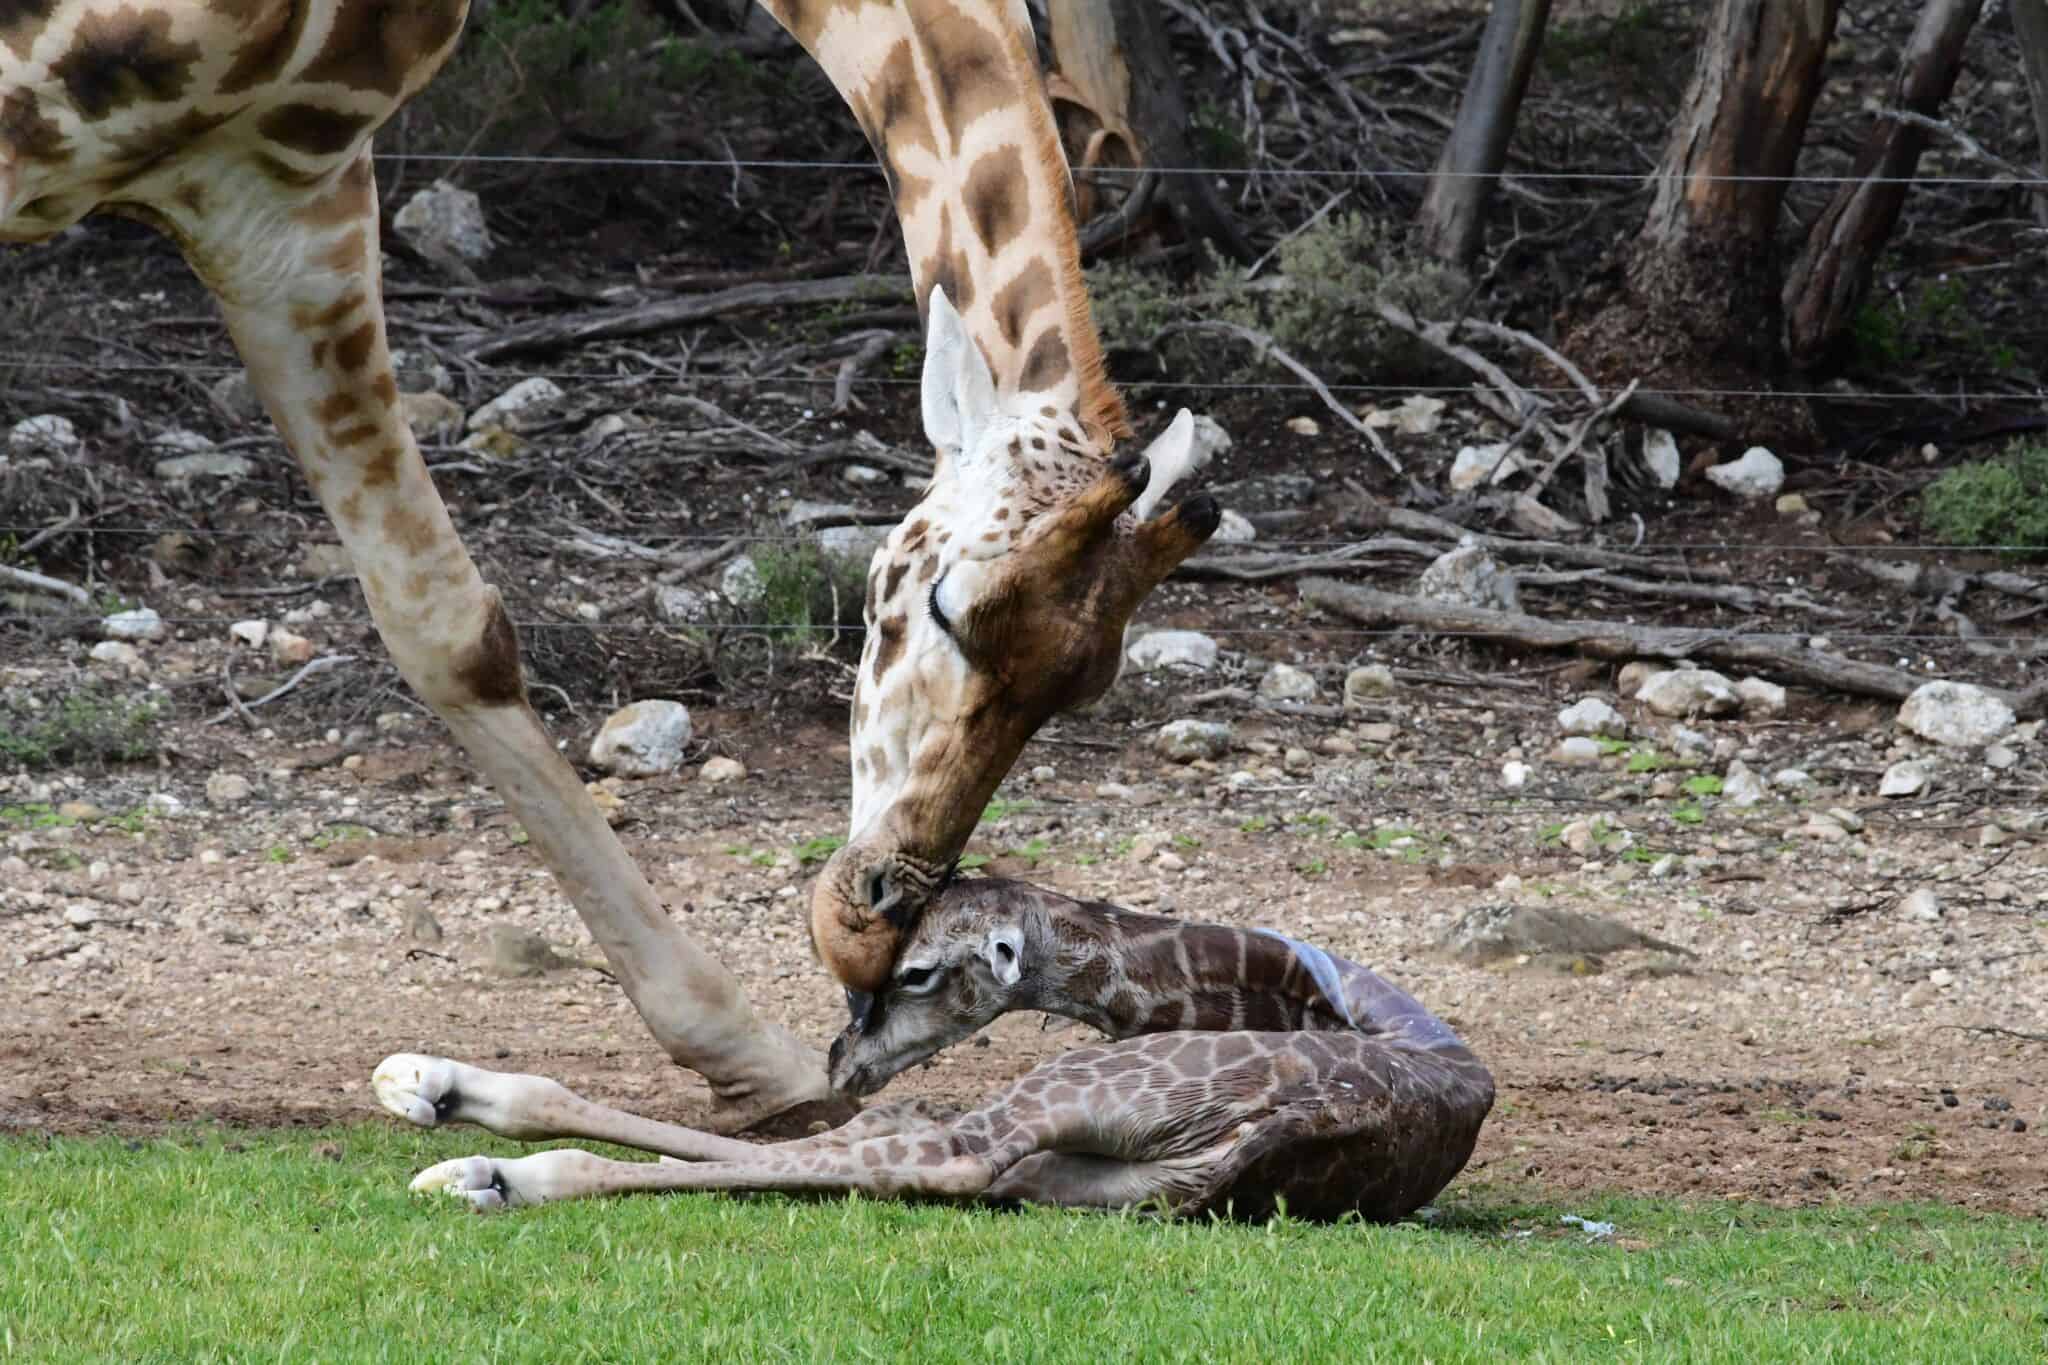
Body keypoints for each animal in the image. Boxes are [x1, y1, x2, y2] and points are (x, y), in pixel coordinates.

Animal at [2, 0, 1216, 1126]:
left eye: (1084, 687)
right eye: (933, 607)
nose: (863, 932)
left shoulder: (279, 193)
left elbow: (450, 626)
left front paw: (748, 1058)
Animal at [378, 878, 1494, 1220]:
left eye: (915, 971)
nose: (842, 1055)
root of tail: (1285, 1117)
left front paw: (442, 1100)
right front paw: (427, 1082)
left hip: (1050, 1092)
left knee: (931, 1155)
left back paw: (488, 1173)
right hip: (1077, 1174)